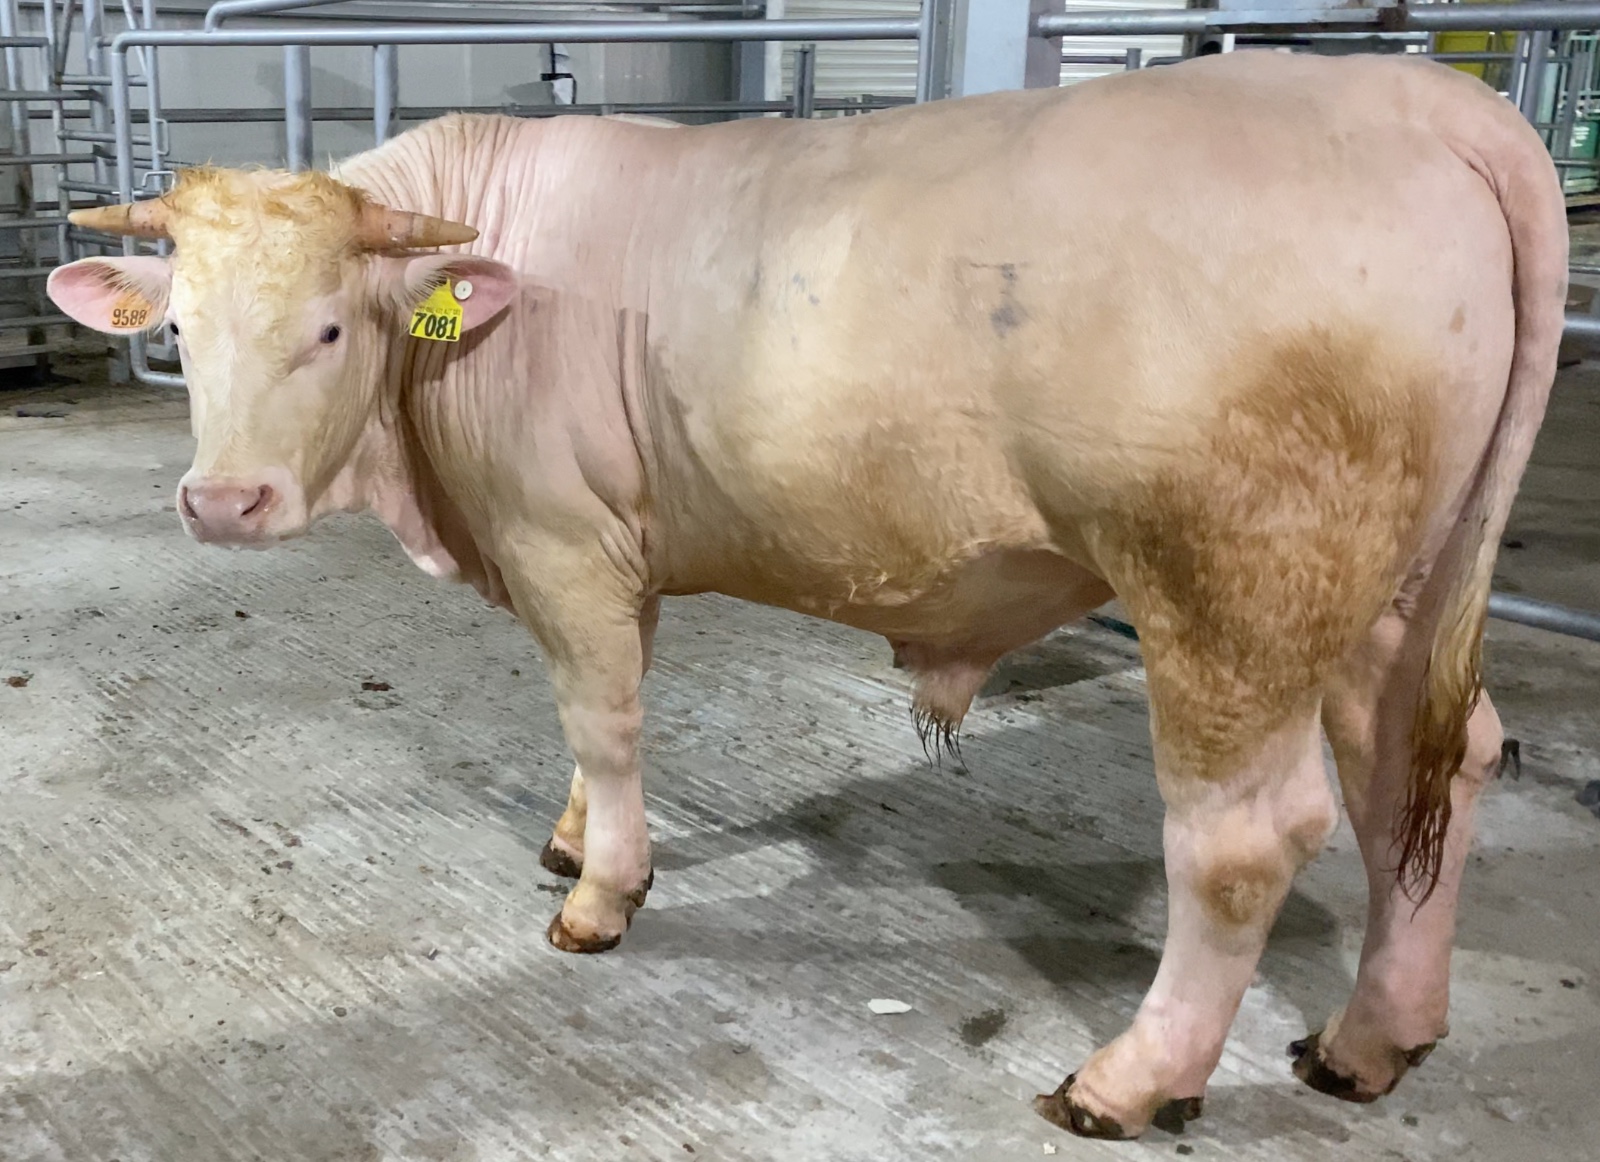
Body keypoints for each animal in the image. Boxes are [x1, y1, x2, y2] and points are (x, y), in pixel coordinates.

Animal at [47, 51, 1565, 1140]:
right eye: (181, 328)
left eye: (329, 327)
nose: (223, 502)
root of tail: (1422, 96)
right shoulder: (615, 546)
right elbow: (599, 711)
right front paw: (574, 835)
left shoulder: (559, 536)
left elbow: (602, 713)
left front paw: (601, 893)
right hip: (1384, 591)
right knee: (1422, 767)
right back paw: (1373, 1036)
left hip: (1230, 588)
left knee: (1248, 836)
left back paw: (1131, 1076)